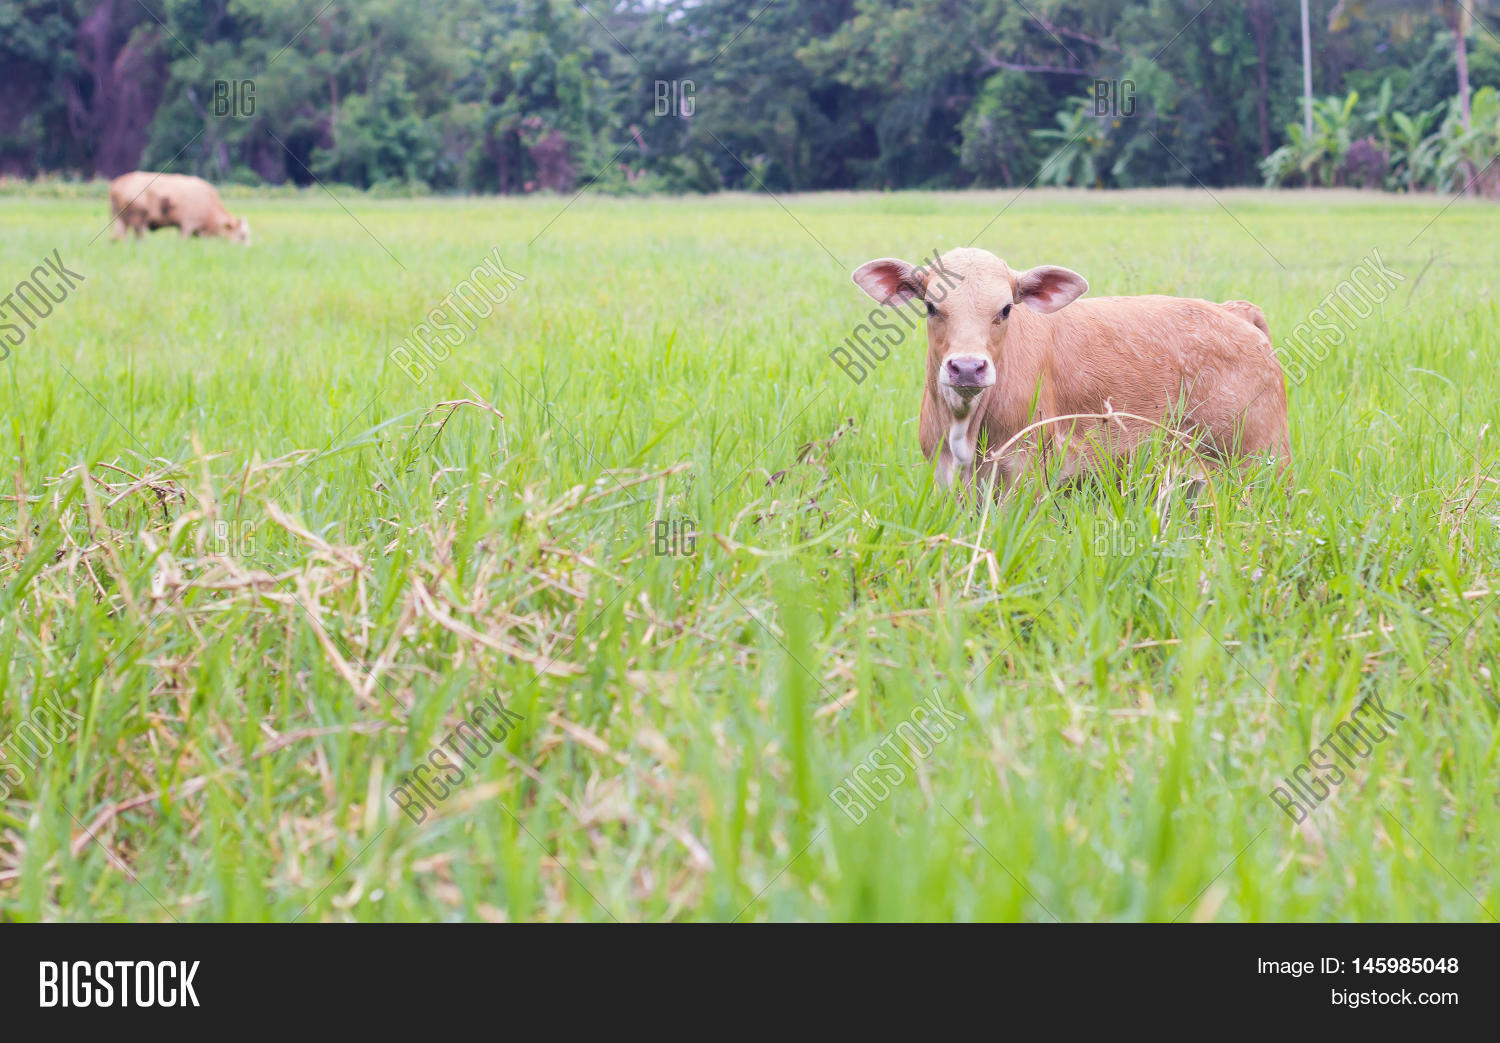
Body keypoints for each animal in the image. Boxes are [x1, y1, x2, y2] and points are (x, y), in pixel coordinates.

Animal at [108, 172, 251, 245]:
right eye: (242, 236)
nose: (248, 249)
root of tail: (117, 183)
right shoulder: (187, 225)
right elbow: (184, 241)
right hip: (137, 219)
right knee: (137, 236)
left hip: (121, 219)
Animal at [851, 247, 1291, 495]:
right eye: (930, 306)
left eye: (1005, 308)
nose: (968, 367)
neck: (965, 422)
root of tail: (1233, 311)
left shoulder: (1023, 472)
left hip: (1260, 461)